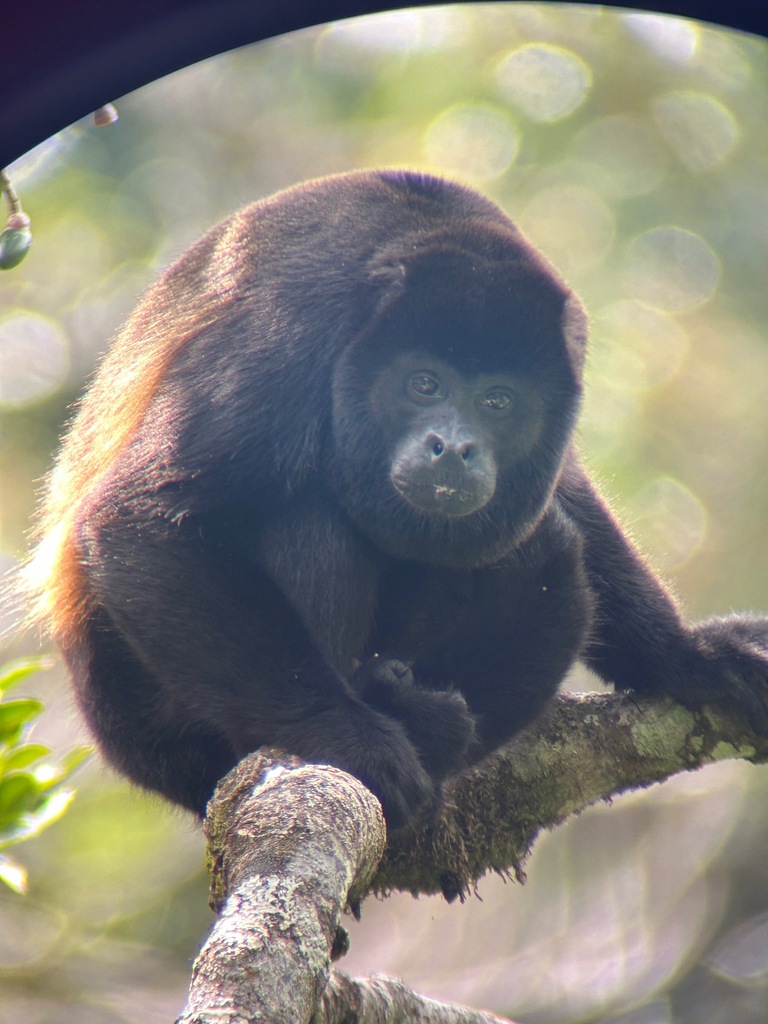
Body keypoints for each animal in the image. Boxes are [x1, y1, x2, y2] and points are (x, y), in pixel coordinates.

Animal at [24, 169, 768, 828]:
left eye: (498, 401)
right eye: (423, 384)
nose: (453, 446)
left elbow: (574, 501)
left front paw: (689, 656)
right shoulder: (290, 329)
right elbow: (141, 517)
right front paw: (344, 732)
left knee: (545, 546)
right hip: (157, 720)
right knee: (309, 524)